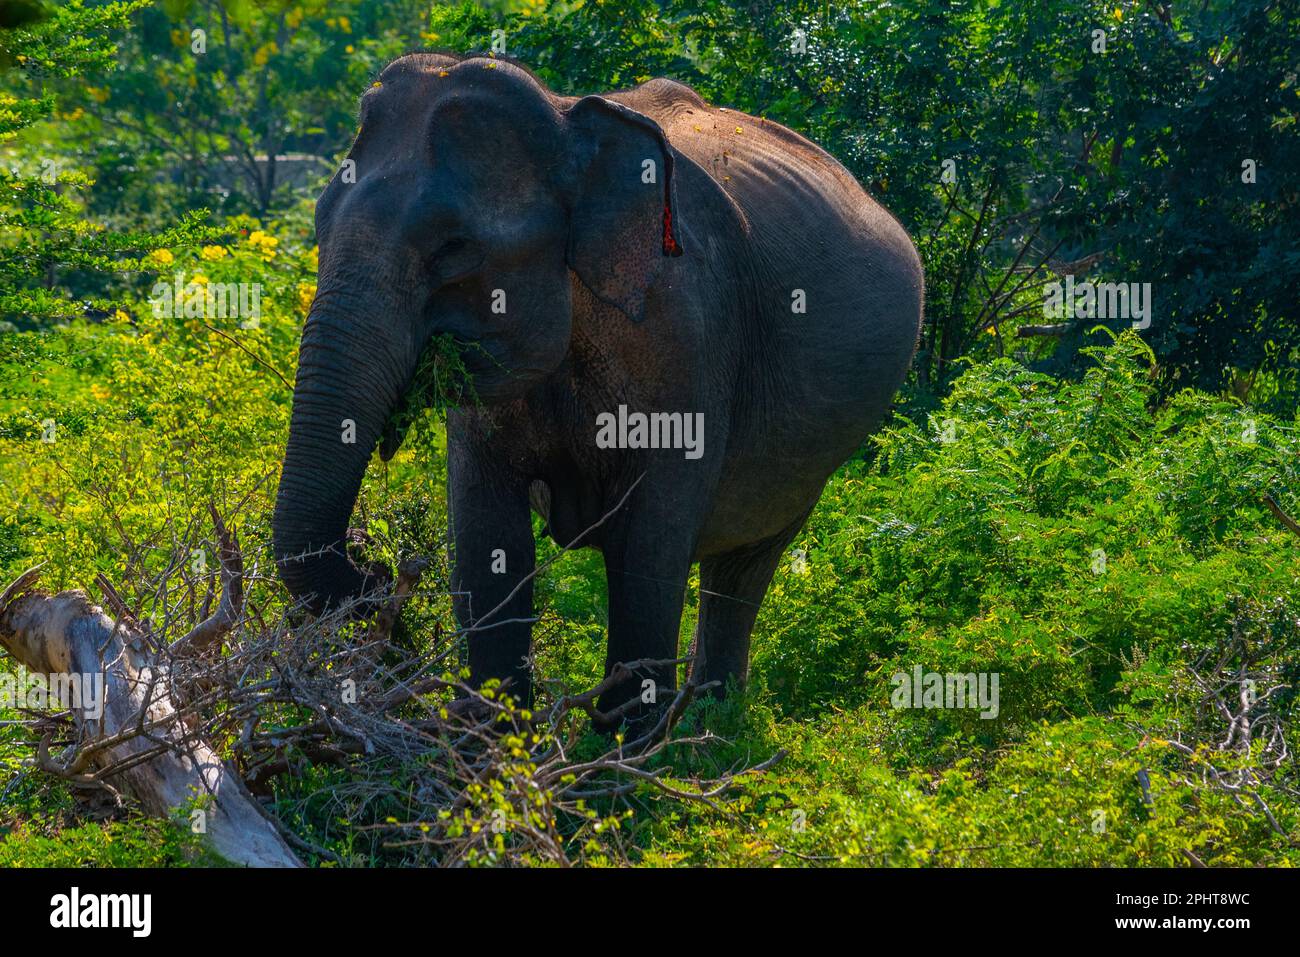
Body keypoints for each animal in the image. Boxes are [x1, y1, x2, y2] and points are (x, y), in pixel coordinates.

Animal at [272, 53, 924, 725]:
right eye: (318, 224)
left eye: (454, 250)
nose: (377, 573)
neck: (568, 128)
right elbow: (486, 535)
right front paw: (492, 739)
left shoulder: (688, 335)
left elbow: (648, 544)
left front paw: (618, 747)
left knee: (746, 562)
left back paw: (712, 729)